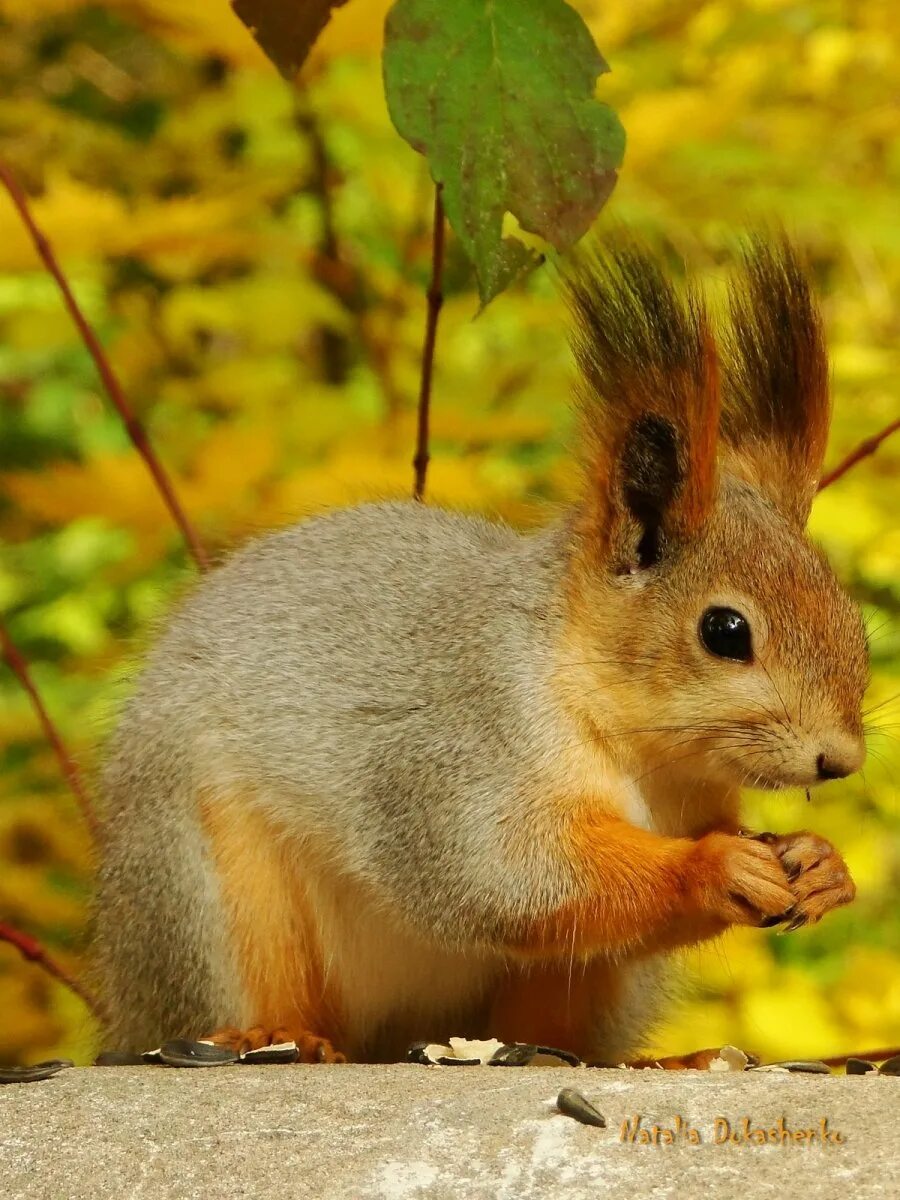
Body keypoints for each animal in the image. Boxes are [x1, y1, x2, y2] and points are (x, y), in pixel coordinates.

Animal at [95, 238, 868, 1065]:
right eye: (725, 631)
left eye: (851, 618)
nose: (840, 760)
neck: (638, 750)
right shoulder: (457, 754)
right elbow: (499, 878)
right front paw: (712, 866)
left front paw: (821, 864)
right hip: (213, 892)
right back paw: (279, 1035)